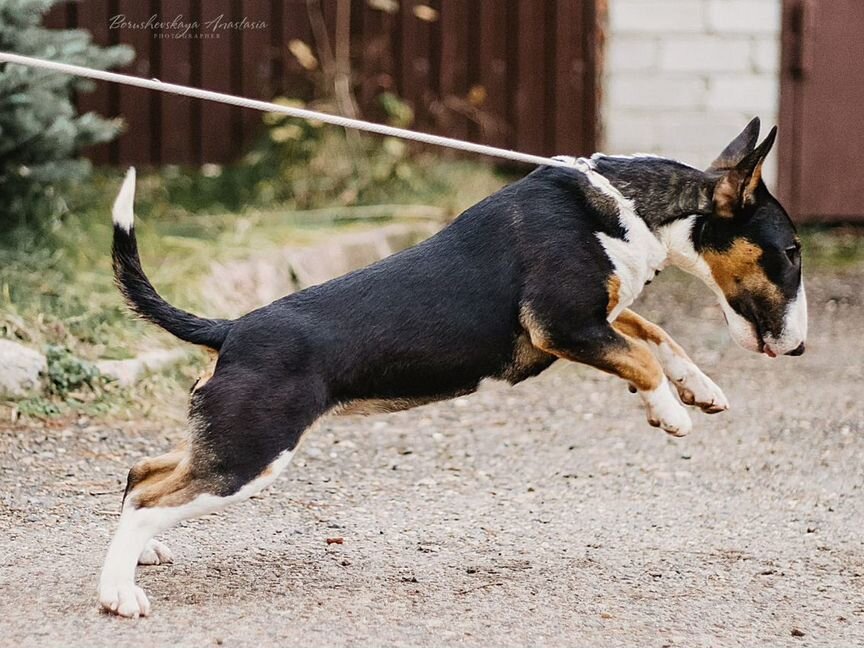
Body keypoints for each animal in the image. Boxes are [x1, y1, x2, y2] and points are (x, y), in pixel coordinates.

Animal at [99, 117, 804, 616]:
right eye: (792, 251)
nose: (798, 350)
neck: (627, 209)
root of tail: (231, 331)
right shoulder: (559, 323)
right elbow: (637, 352)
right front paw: (670, 412)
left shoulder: (589, 317)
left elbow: (650, 330)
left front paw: (701, 388)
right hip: (252, 454)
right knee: (151, 498)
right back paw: (118, 596)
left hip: (224, 439)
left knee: (143, 474)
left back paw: (139, 561)